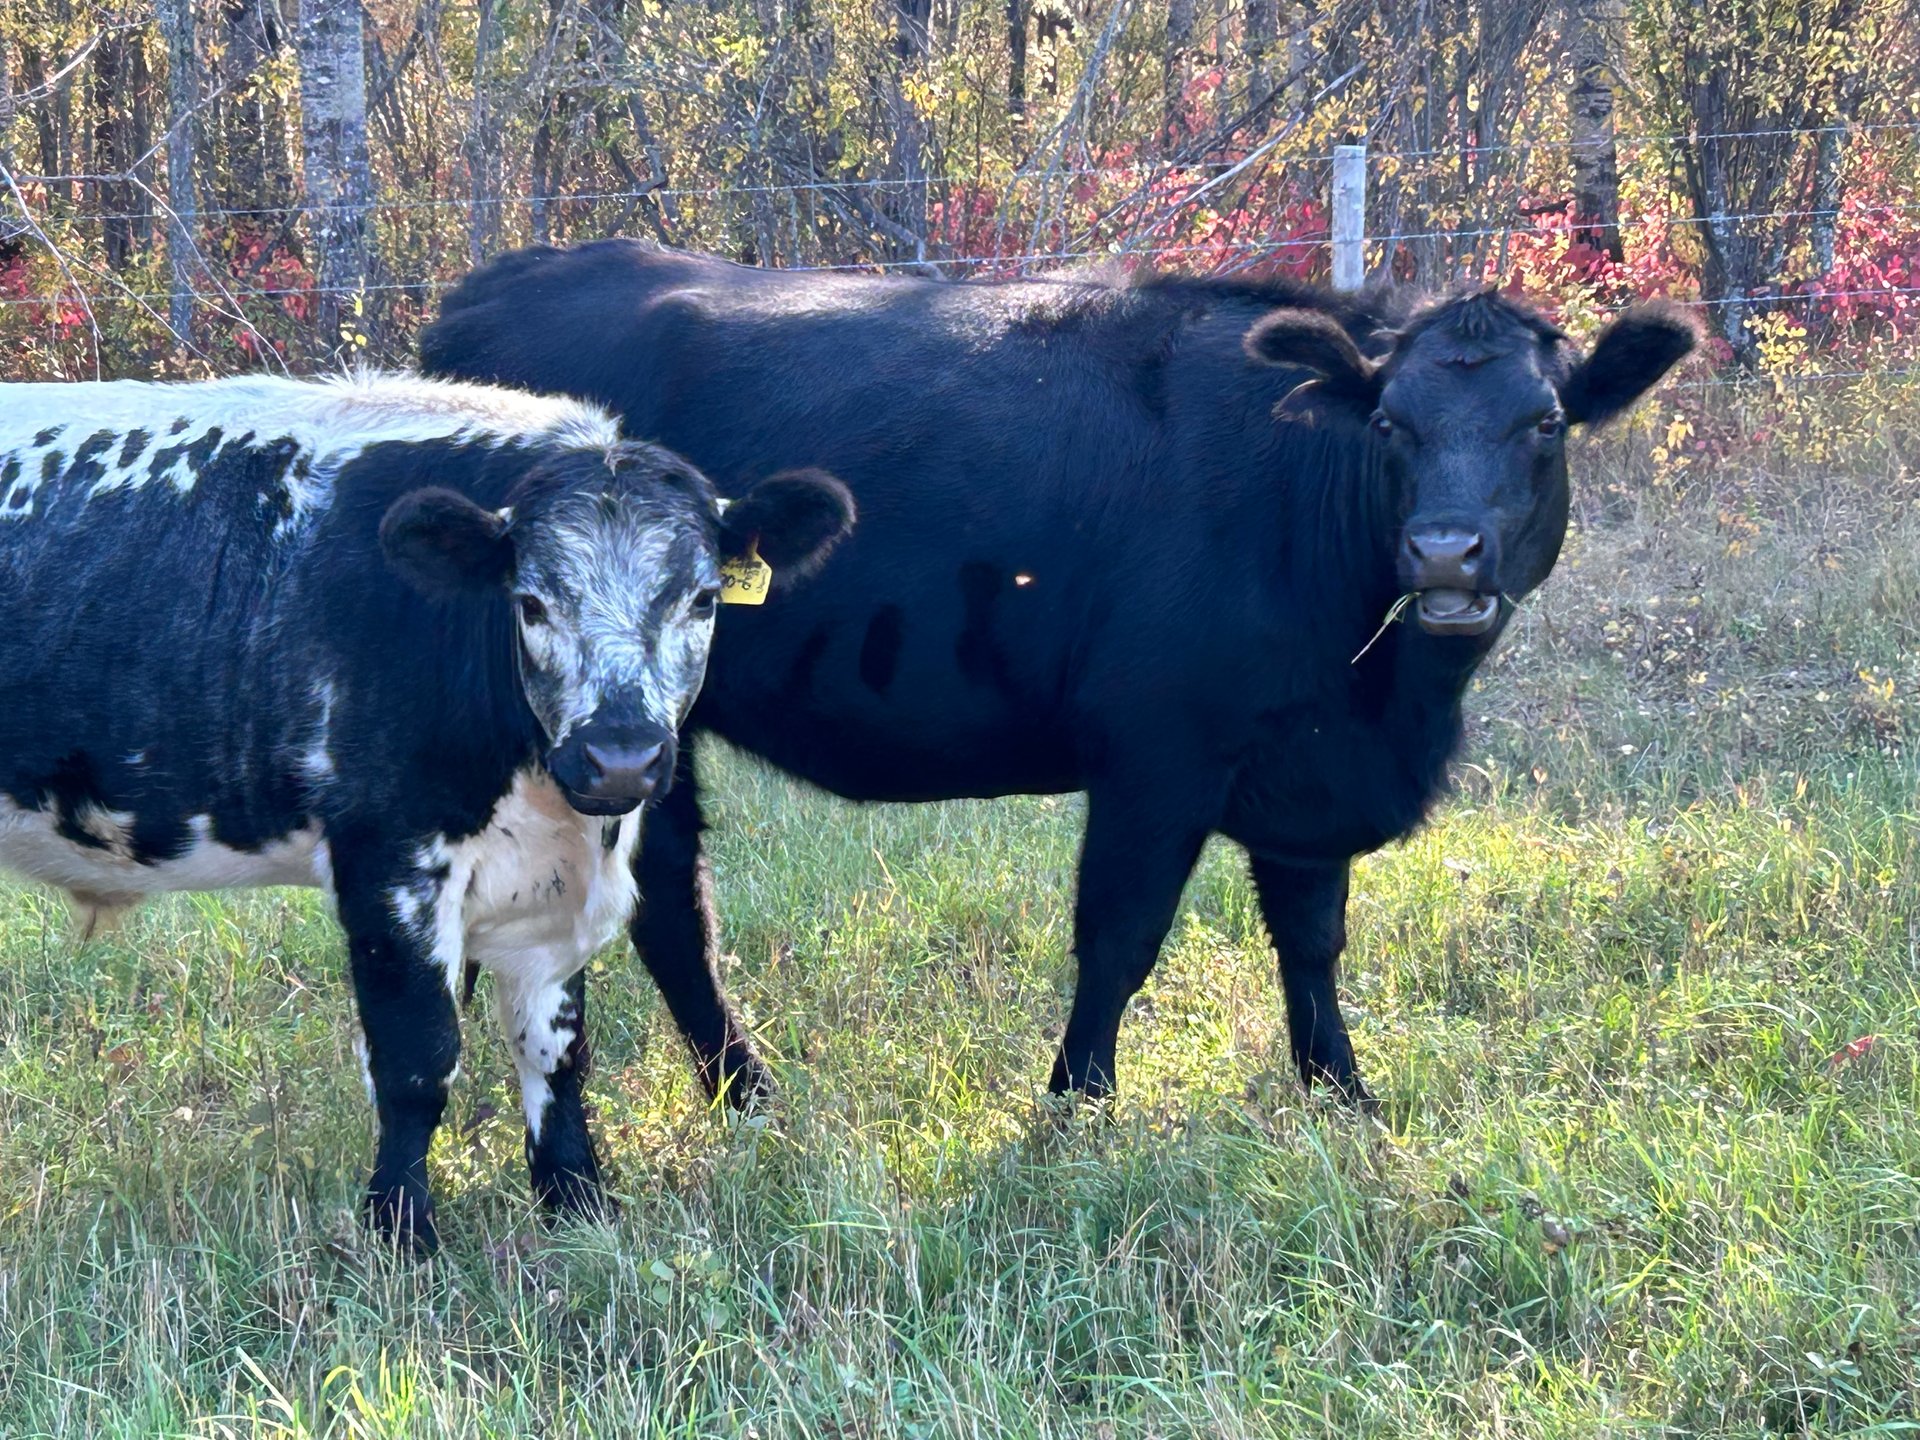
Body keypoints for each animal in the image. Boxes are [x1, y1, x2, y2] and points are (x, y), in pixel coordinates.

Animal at [0, 371, 853, 1252]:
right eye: (531, 603)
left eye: (704, 598)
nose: (619, 755)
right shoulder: (388, 860)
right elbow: (417, 1058)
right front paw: (402, 1231)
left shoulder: (555, 890)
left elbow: (556, 1053)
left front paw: (577, 1206)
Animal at [420, 241, 1695, 1113]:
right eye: (1389, 423)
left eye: (1545, 424)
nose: (1442, 552)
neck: (1388, 702)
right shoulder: (1158, 757)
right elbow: (1120, 940)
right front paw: (1077, 1109)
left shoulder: (1309, 772)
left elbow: (1313, 940)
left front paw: (1343, 1097)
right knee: (661, 911)